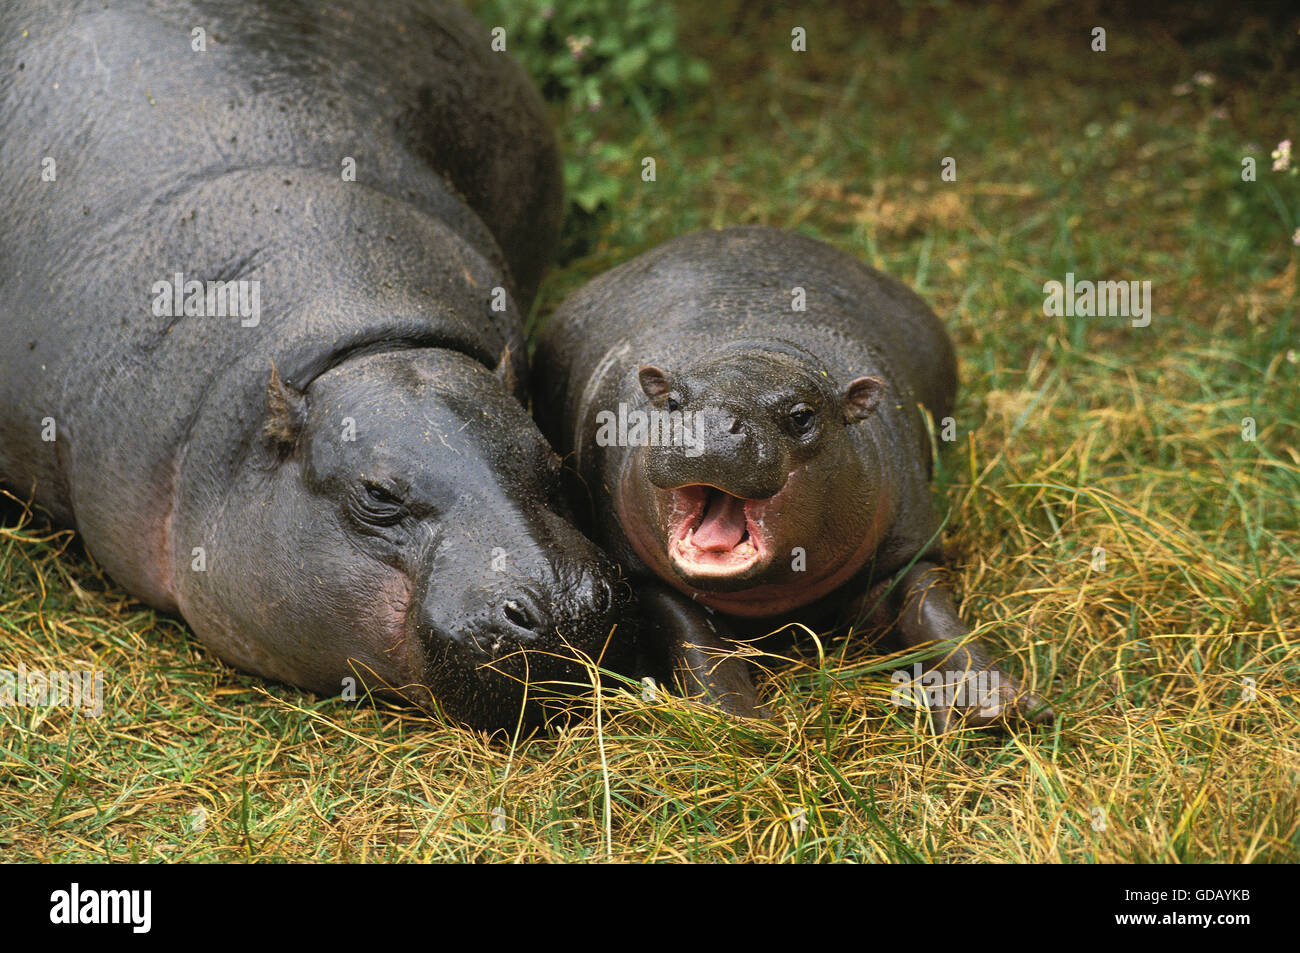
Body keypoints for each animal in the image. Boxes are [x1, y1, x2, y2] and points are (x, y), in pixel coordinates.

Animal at [535, 226, 1053, 728]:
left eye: (803, 415)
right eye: (672, 402)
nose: (711, 425)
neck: (753, 347)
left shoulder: (908, 545)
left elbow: (935, 614)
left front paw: (1004, 707)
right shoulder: (646, 575)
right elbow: (694, 640)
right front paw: (739, 722)